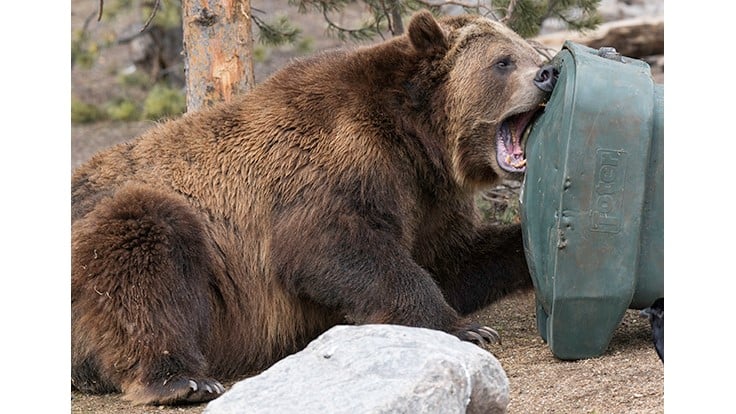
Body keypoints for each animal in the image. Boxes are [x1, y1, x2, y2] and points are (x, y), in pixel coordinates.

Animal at [71, 10, 553, 406]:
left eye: (533, 49)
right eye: (503, 61)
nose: (547, 73)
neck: (416, 141)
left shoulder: (428, 201)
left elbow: (455, 259)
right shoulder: (333, 164)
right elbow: (337, 249)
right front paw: (468, 329)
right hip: (111, 233)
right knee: (143, 248)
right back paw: (181, 379)